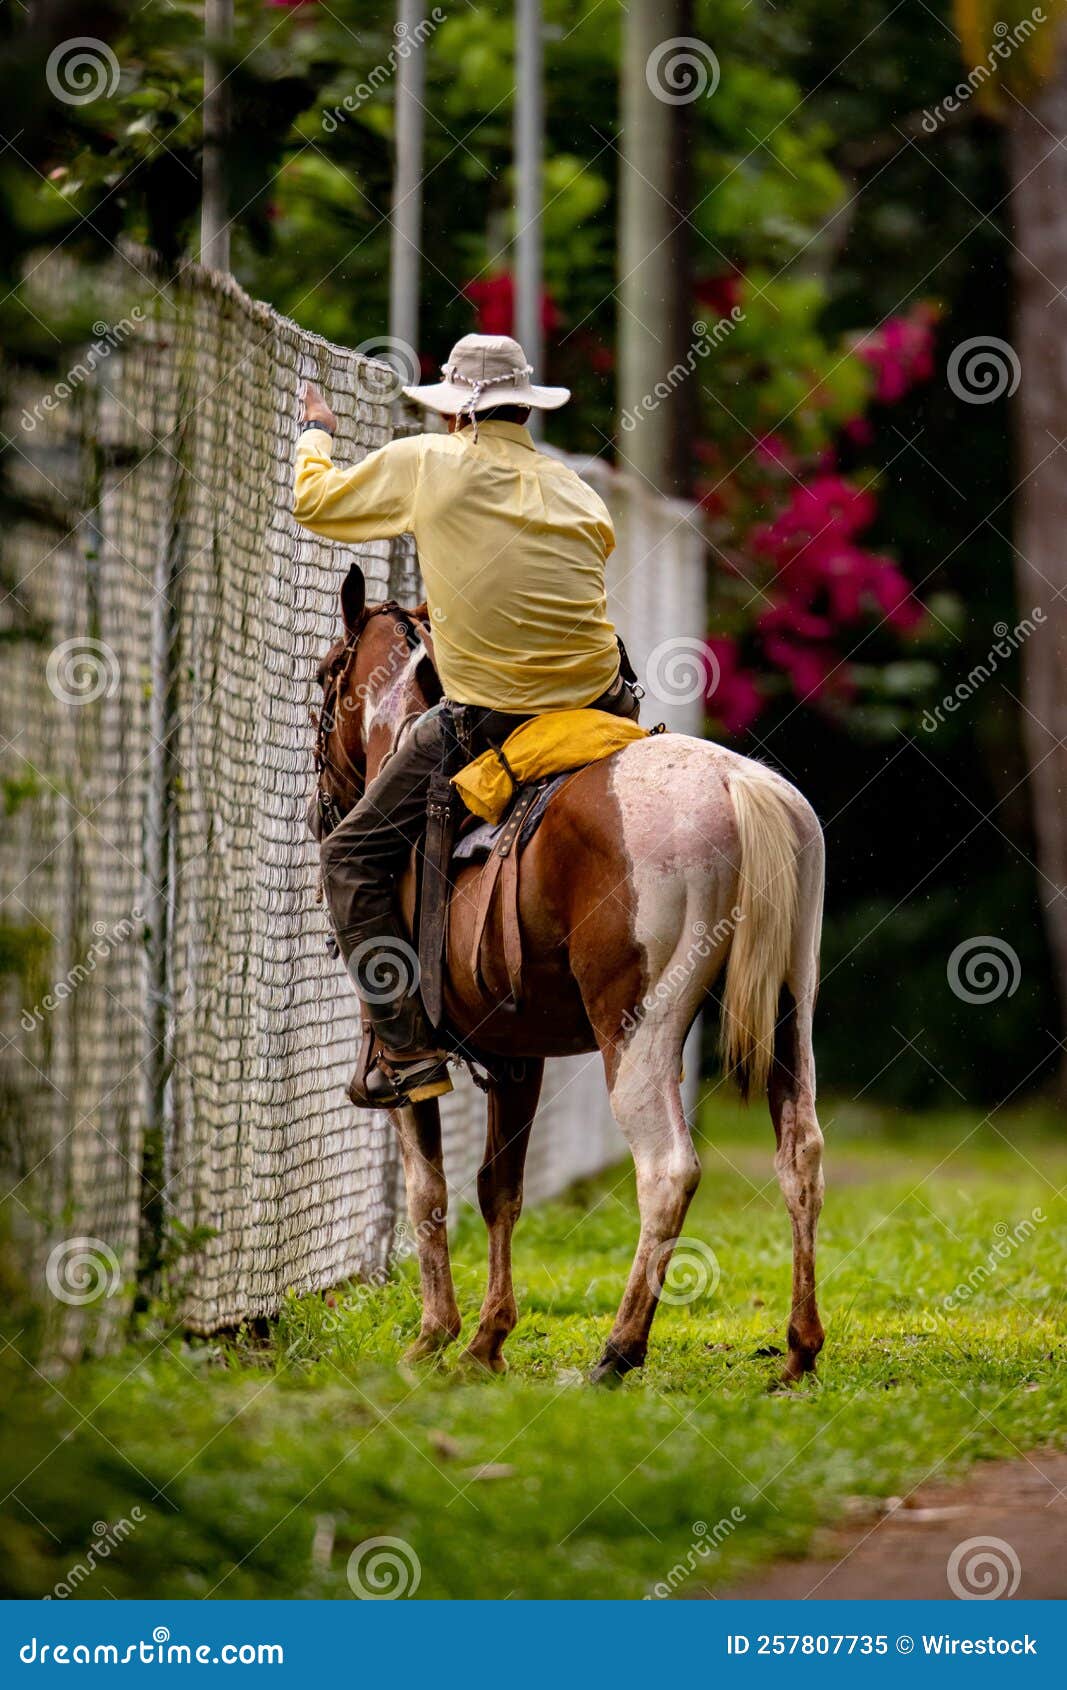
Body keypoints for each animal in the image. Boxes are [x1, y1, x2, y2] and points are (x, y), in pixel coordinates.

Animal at [313, 564, 826, 1386]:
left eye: (327, 674)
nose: (320, 808)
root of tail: (734, 786)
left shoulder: (407, 1064)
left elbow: (430, 1190)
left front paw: (432, 1337)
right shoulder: (515, 1058)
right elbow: (500, 1188)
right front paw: (486, 1341)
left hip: (637, 1029)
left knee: (666, 1169)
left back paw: (619, 1350)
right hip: (790, 1010)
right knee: (800, 1151)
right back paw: (799, 1349)